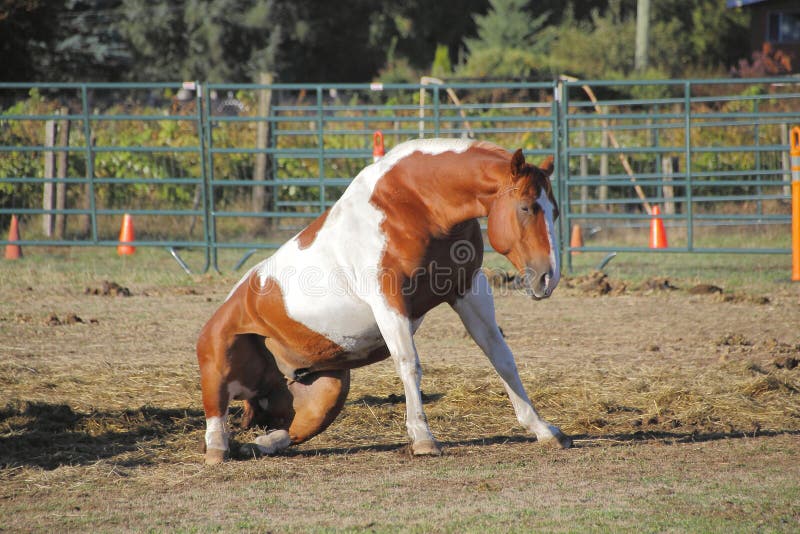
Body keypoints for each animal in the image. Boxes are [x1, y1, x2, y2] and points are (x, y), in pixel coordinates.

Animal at [196, 138, 571, 464]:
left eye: (554, 212)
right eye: (526, 207)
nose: (547, 277)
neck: (415, 205)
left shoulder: (468, 291)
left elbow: (502, 358)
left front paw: (542, 429)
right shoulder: (388, 300)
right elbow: (409, 365)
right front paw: (422, 438)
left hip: (329, 390)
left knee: (288, 433)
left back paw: (256, 445)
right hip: (219, 363)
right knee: (216, 417)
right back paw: (219, 449)